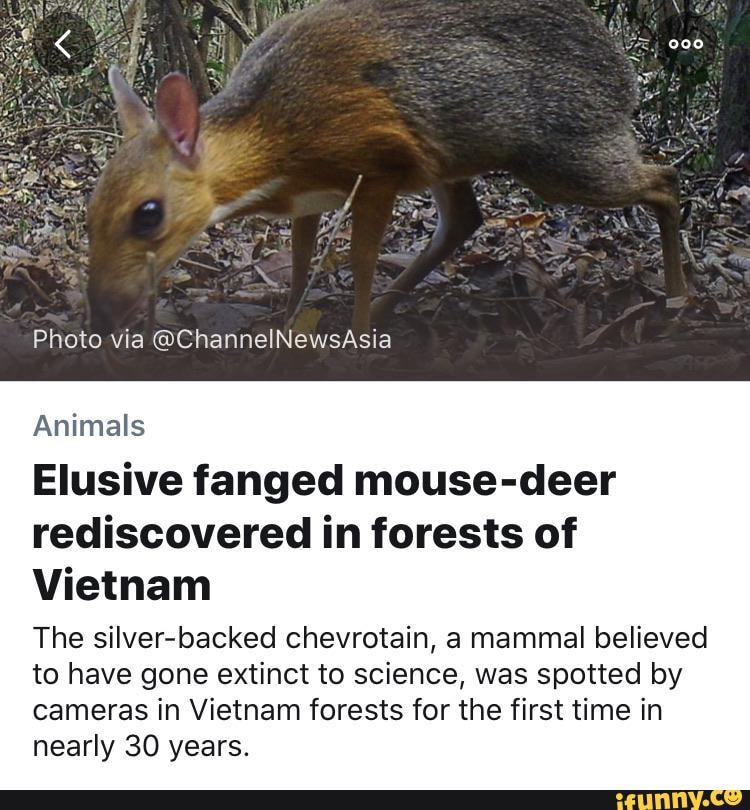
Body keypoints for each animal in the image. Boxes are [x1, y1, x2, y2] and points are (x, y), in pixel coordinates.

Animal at [86, 0, 687, 336]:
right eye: (89, 211)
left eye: (147, 214)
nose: (101, 317)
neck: (275, 132)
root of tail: (625, 73)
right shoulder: (311, 197)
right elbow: (299, 264)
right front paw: (286, 326)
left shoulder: (380, 166)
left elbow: (361, 260)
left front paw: (352, 340)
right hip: (454, 161)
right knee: (464, 220)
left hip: (564, 153)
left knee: (665, 179)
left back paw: (682, 293)